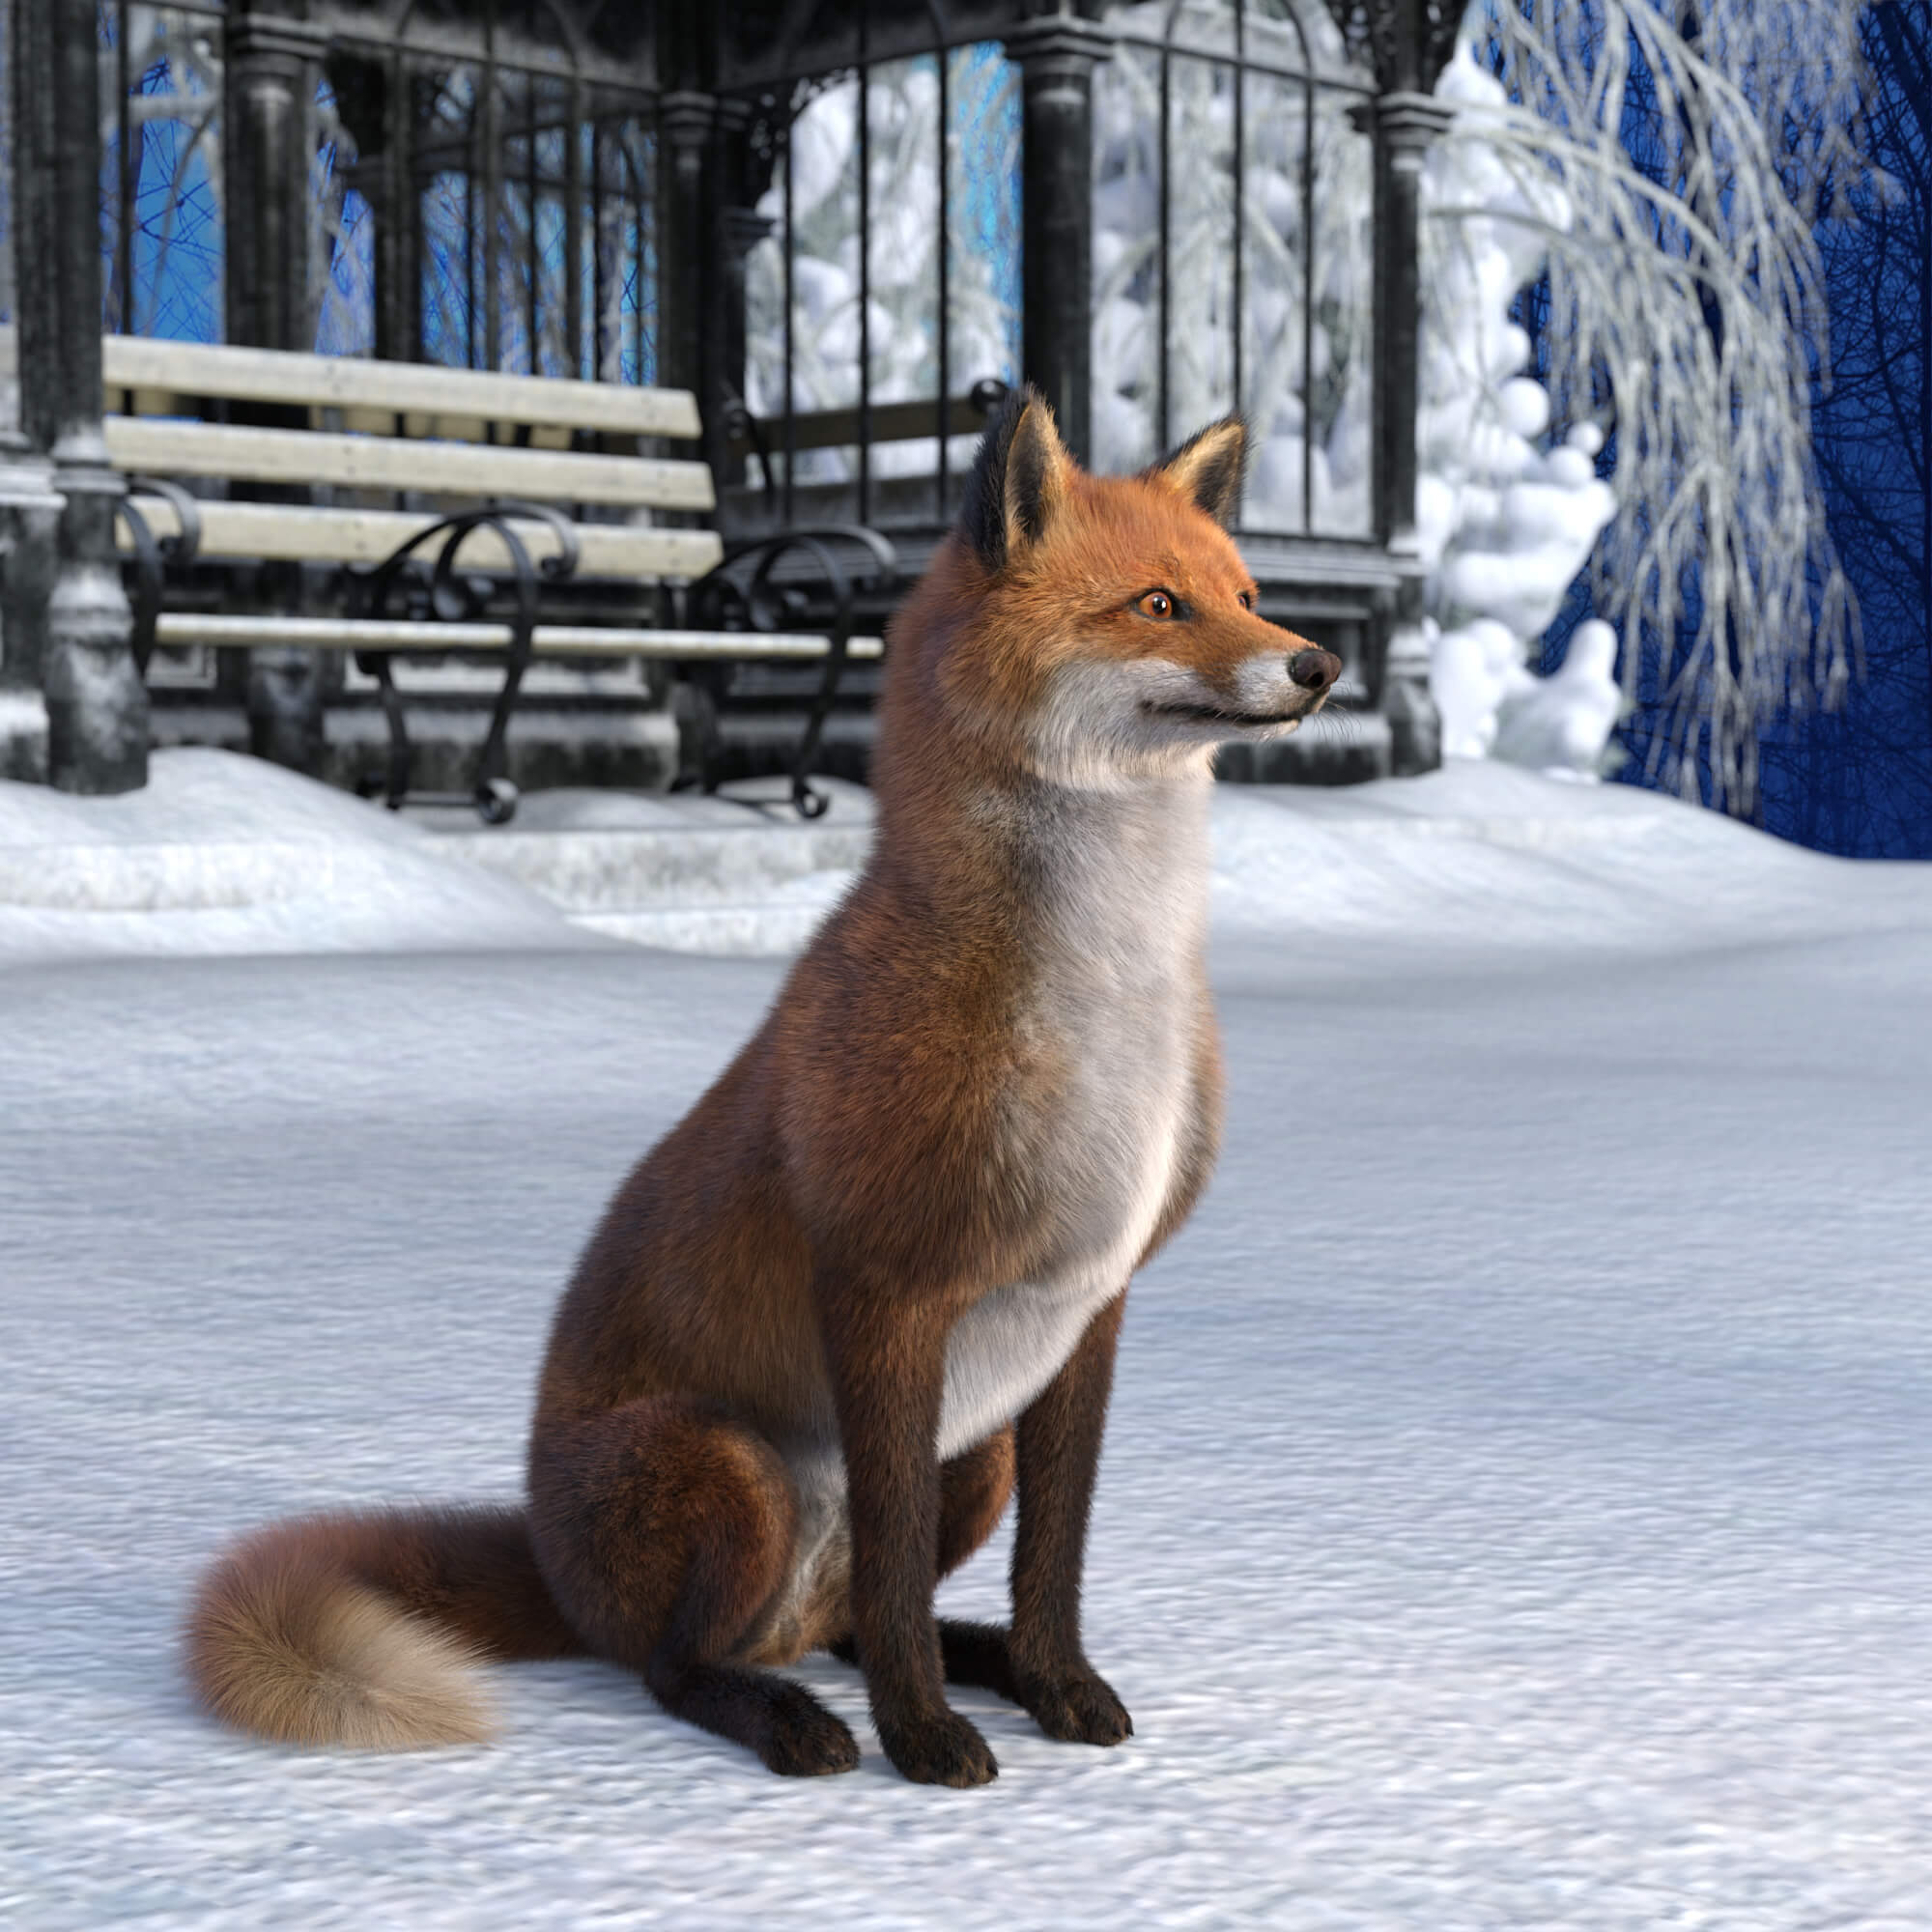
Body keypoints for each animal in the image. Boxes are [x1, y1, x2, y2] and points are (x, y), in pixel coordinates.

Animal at [185, 387, 1341, 1787]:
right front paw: (922, 1742)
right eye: (1159, 604)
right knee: (682, 1662)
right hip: (739, 1471)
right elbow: (894, 1574)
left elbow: (1052, 1557)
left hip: (975, 1455)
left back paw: (975, 1664)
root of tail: (553, 1565)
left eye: (1246, 593)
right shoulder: (884, 1289)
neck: (1108, 1004)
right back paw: (793, 1719)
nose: (1319, 665)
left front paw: (1057, 1686)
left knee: (846, 1618)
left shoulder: (1091, 1307)